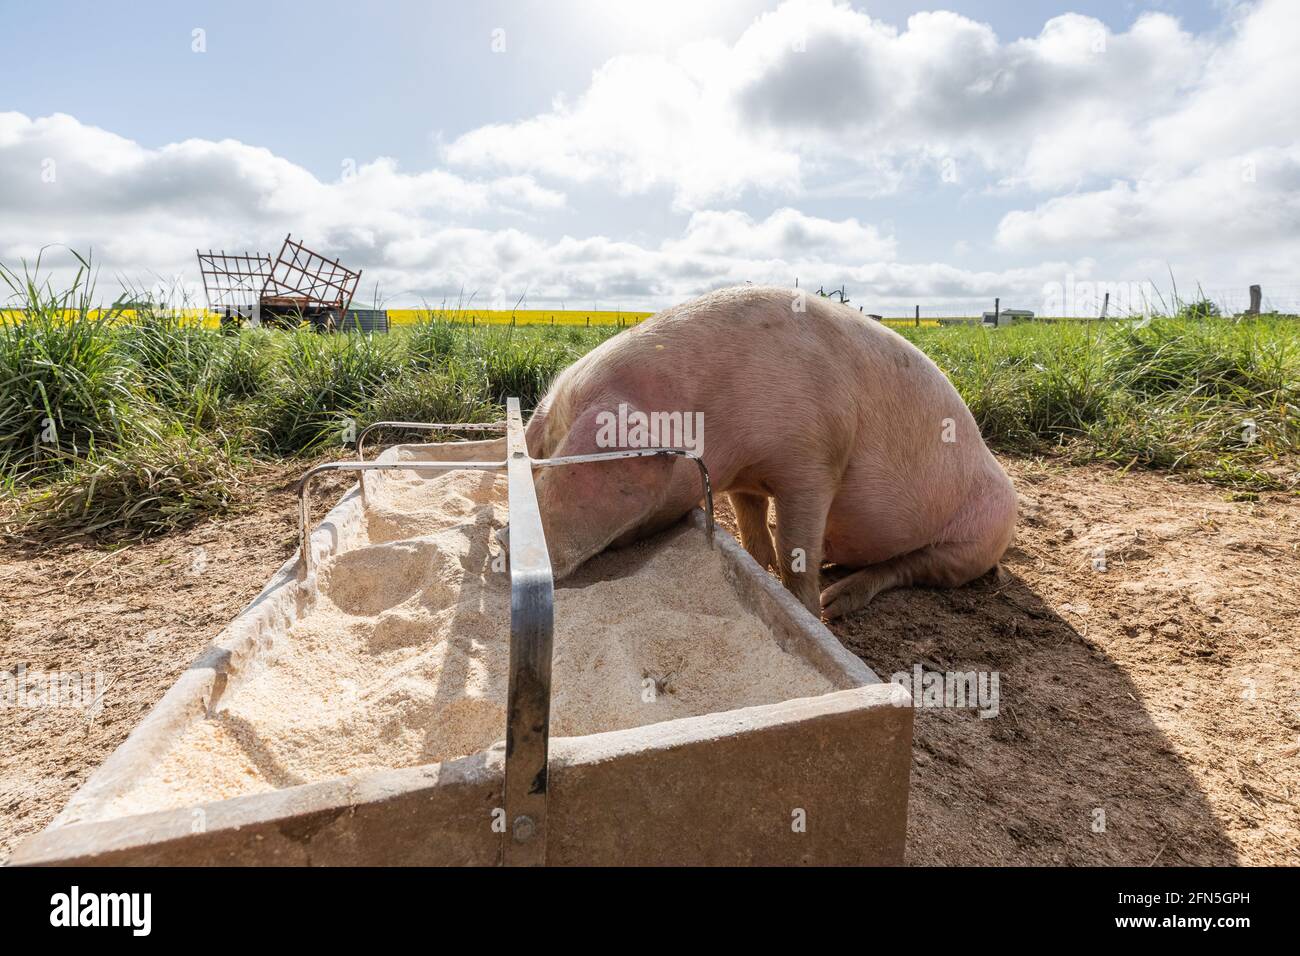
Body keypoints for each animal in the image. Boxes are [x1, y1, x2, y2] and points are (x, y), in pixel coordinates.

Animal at [521, 286, 1016, 620]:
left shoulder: (816, 460)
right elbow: (755, 537)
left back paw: (834, 603)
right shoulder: (744, 481)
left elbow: (795, 552)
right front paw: (761, 573)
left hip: (976, 540)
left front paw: (809, 613)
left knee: (911, 566)